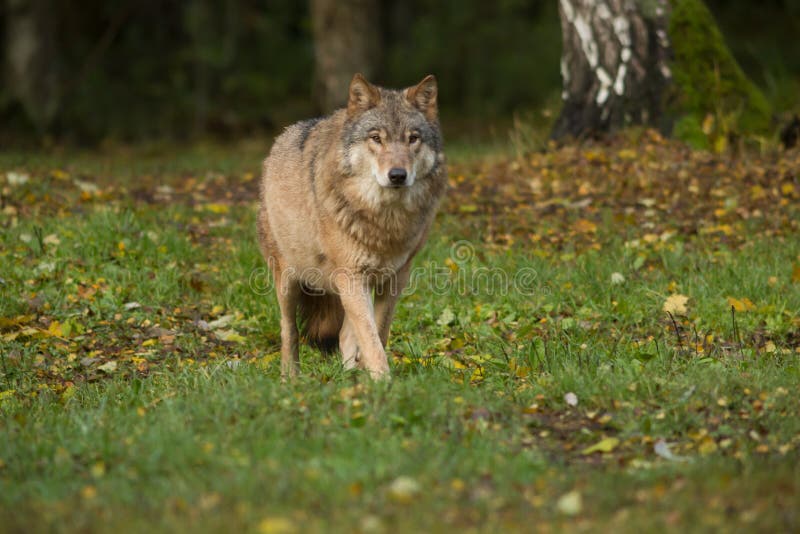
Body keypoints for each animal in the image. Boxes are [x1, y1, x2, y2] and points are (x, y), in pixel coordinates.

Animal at [257, 74, 446, 379]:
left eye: (413, 139)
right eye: (376, 139)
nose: (397, 175)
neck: (385, 224)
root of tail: (282, 136)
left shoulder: (396, 279)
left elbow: (377, 333)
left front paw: (369, 377)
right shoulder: (352, 277)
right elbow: (370, 340)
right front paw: (383, 382)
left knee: (345, 335)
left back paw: (349, 377)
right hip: (289, 280)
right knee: (289, 331)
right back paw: (291, 379)